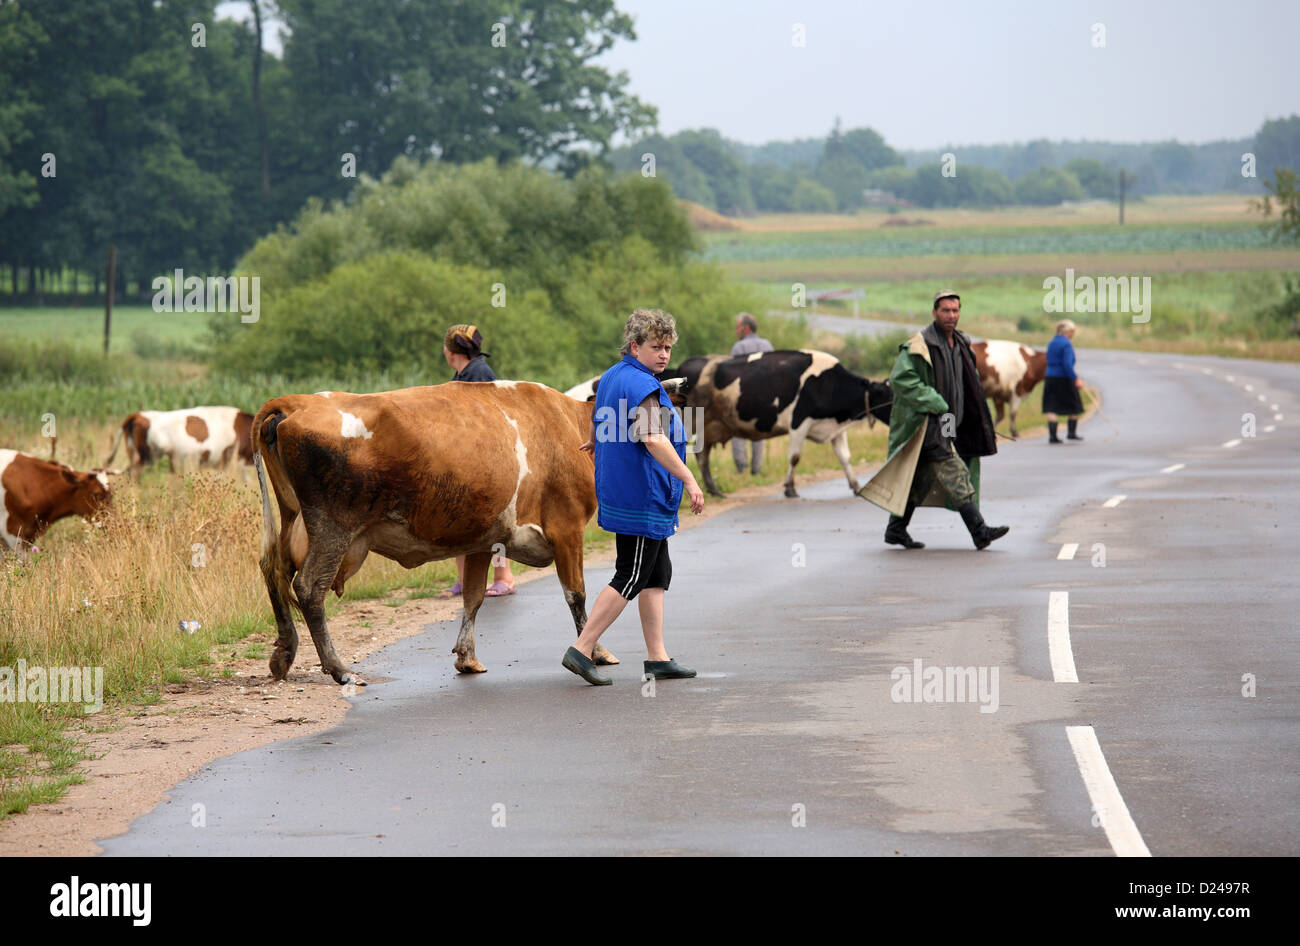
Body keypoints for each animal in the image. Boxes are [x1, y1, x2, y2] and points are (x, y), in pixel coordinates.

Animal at [251, 381, 619, 685]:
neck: (569, 422)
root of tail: (299, 401)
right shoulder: (567, 528)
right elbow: (577, 595)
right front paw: (595, 652)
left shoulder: (484, 539)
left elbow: (473, 596)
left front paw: (467, 657)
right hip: (332, 528)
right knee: (309, 587)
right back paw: (340, 670)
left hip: (295, 521)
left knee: (274, 569)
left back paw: (284, 652)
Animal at [666, 349, 892, 499]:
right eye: (886, 394)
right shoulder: (799, 423)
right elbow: (794, 457)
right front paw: (789, 488)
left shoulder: (835, 428)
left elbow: (845, 457)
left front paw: (855, 485)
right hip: (689, 422)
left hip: (709, 426)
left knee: (703, 456)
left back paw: (714, 490)